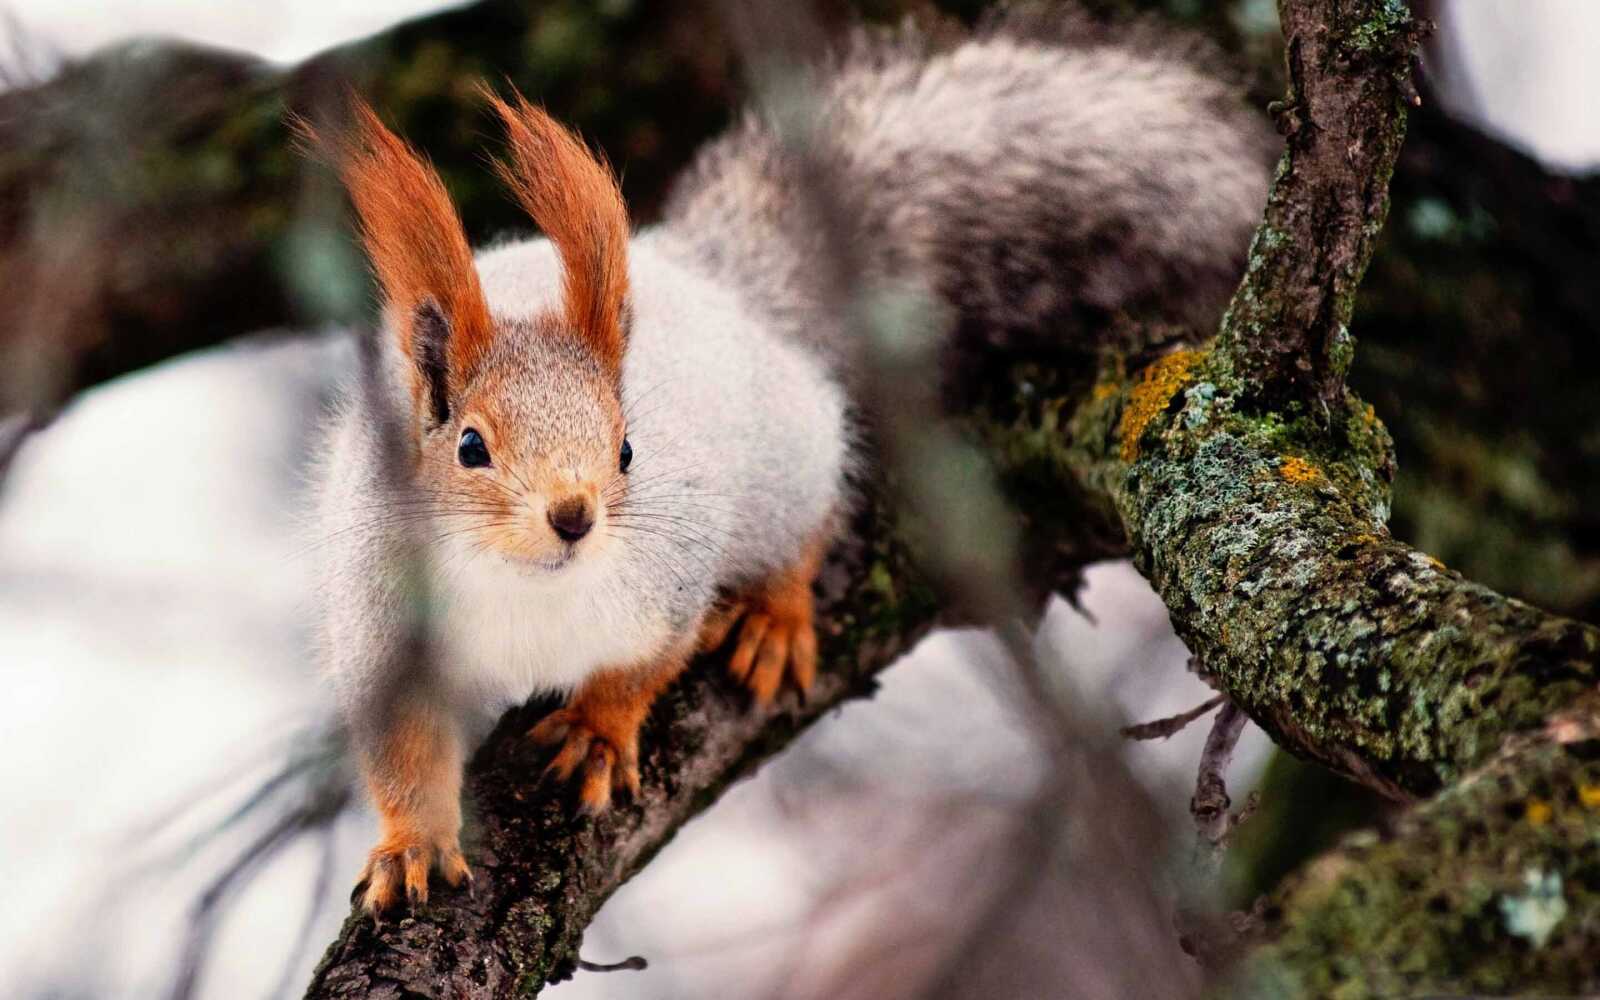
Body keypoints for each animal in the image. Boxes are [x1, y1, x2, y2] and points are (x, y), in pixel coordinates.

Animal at [308, 8, 1273, 916]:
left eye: (627, 446)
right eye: (470, 446)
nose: (574, 517)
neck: (523, 586)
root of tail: (716, 281)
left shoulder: (669, 579)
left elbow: (644, 665)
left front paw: (600, 731)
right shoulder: (385, 623)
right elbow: (402, 752)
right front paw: (411, 845)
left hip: (787, 463)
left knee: (808, 518)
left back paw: (774, 613)